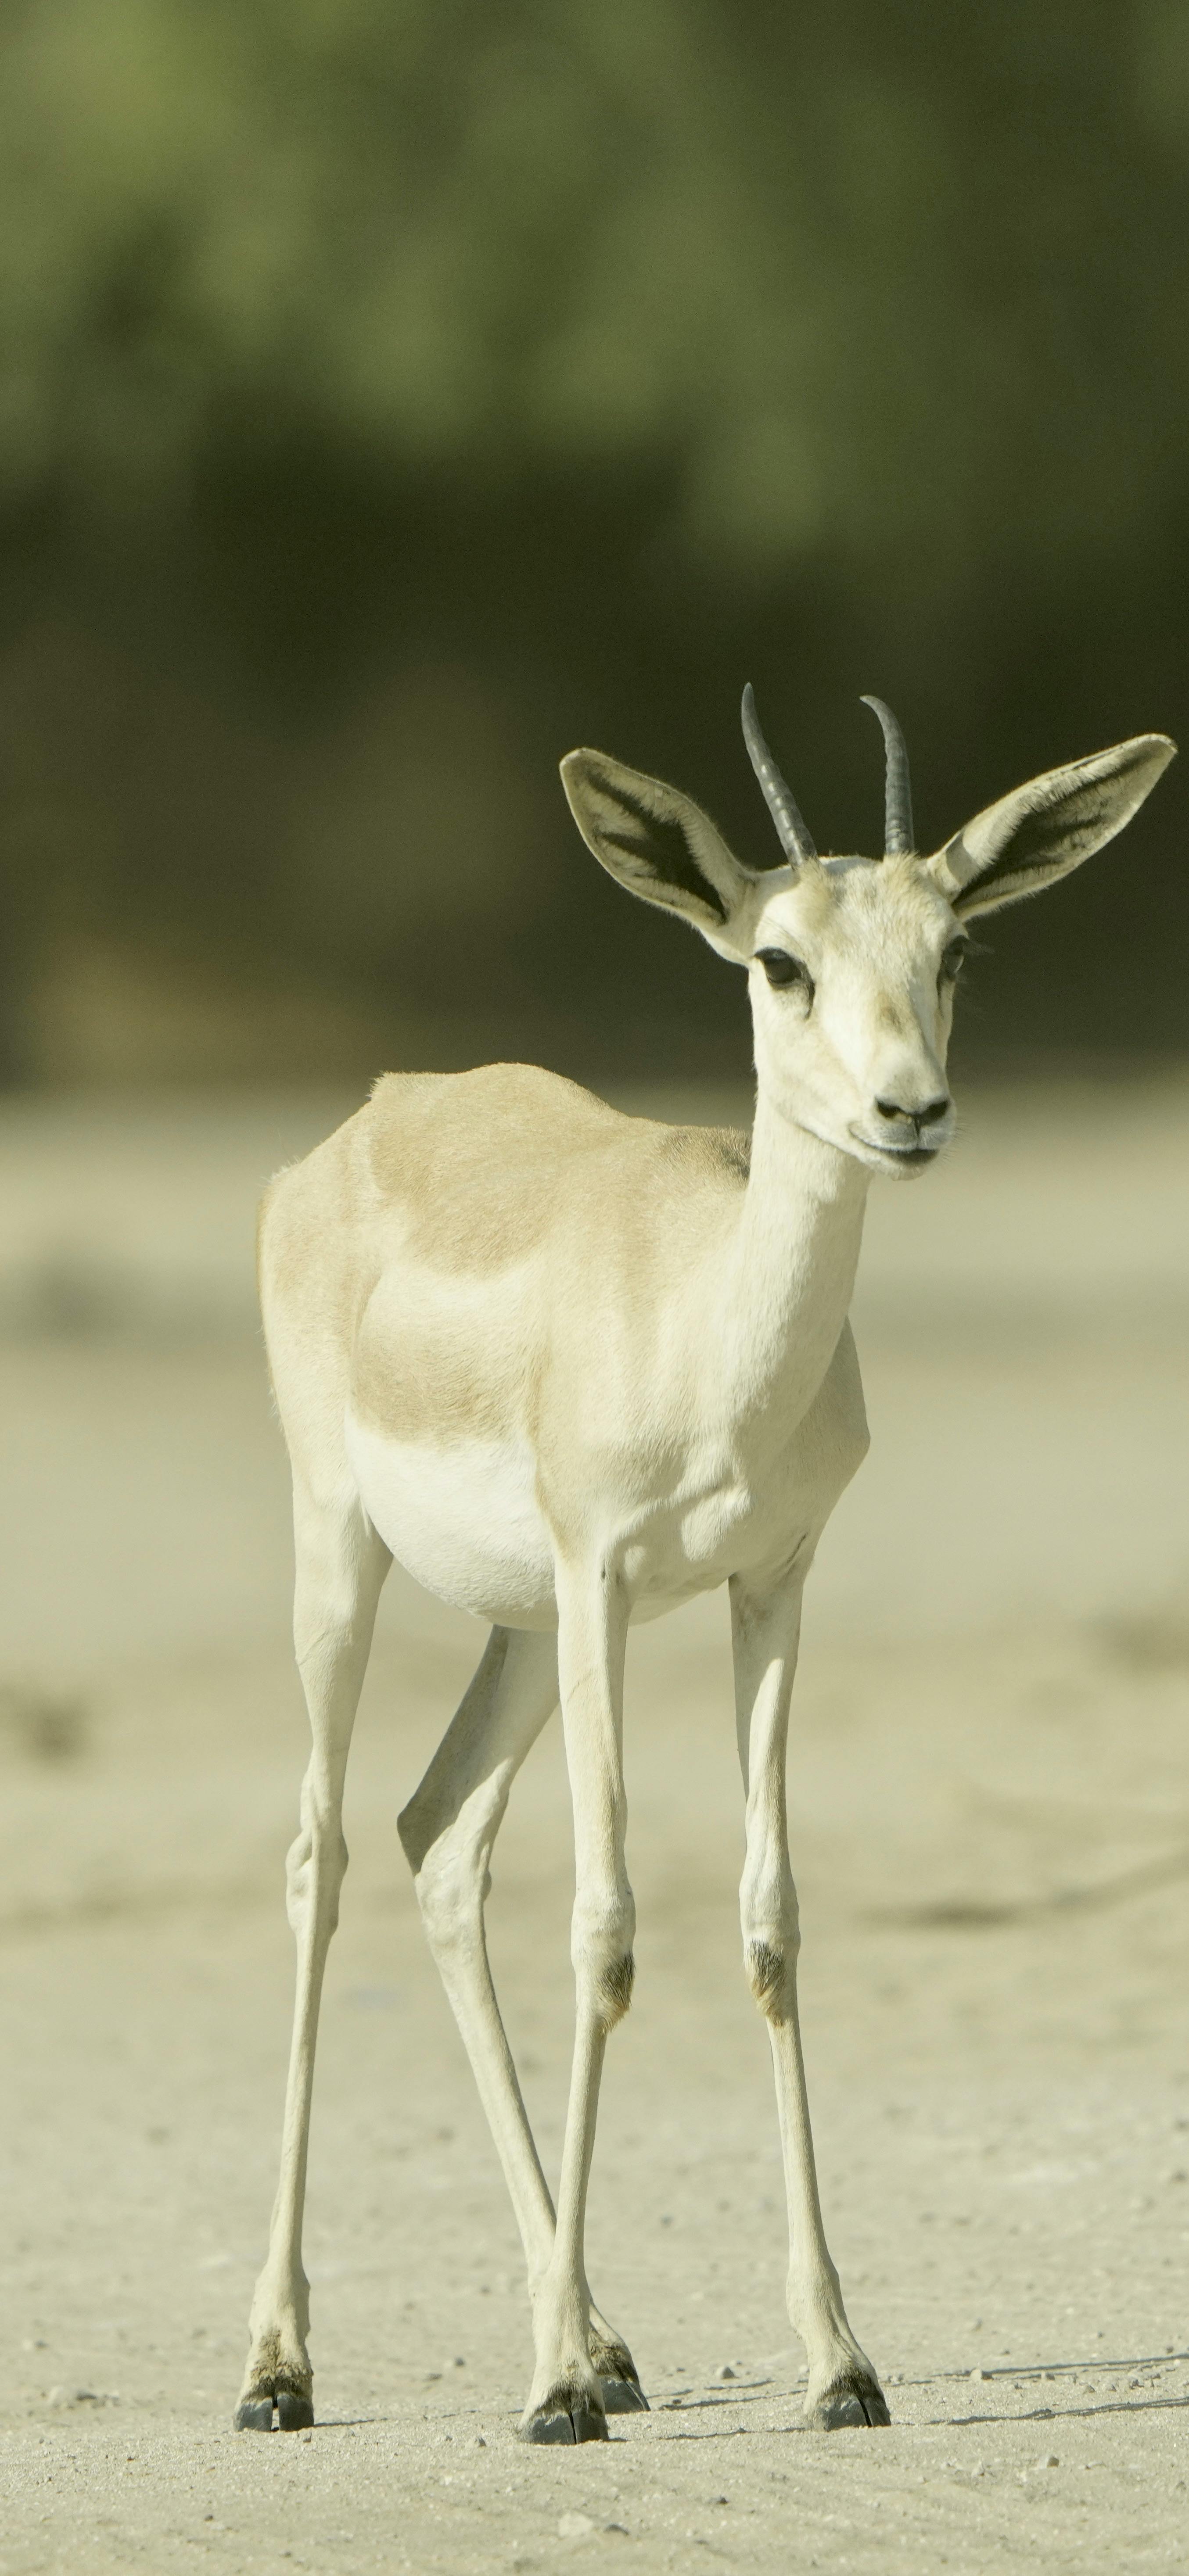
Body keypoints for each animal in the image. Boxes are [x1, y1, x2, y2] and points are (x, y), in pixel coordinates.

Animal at [234, 691, 1173, 2443]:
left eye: (955, 946)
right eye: (780, 958)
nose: (909, 1110)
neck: (704, 1323)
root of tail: (372, 1114)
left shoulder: (771, 1585)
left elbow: (769, 1925)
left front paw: (838, 2362)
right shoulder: (606, 1578)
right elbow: (607, 1927)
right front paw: (546, 2390)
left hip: (525, 1632)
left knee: (438, 1836)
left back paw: (601, 2336)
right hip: (347, 1557)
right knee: (321, 1859)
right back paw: (282, 2365)